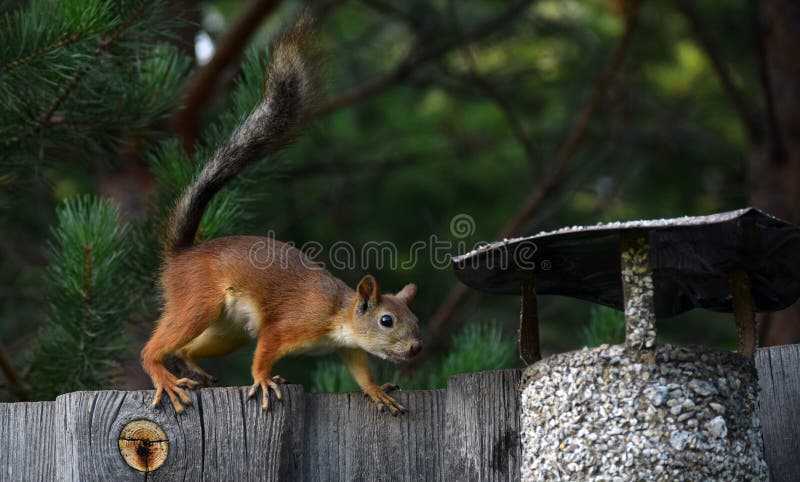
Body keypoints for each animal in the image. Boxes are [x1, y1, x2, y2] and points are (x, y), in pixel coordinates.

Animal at [141, 16, 422, 416]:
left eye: (416, 319)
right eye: (387, 320)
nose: (416, 348)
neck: (339, 314)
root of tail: (183, 254)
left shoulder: (348, 348)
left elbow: (360, 370)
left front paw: (377, 391)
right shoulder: (287, 326)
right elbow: (265, 352)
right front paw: (263, 380)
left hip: (228, 331)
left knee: (186, 349)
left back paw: (195, 370)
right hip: (198, 302)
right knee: (155, 347)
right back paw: (164, 377)